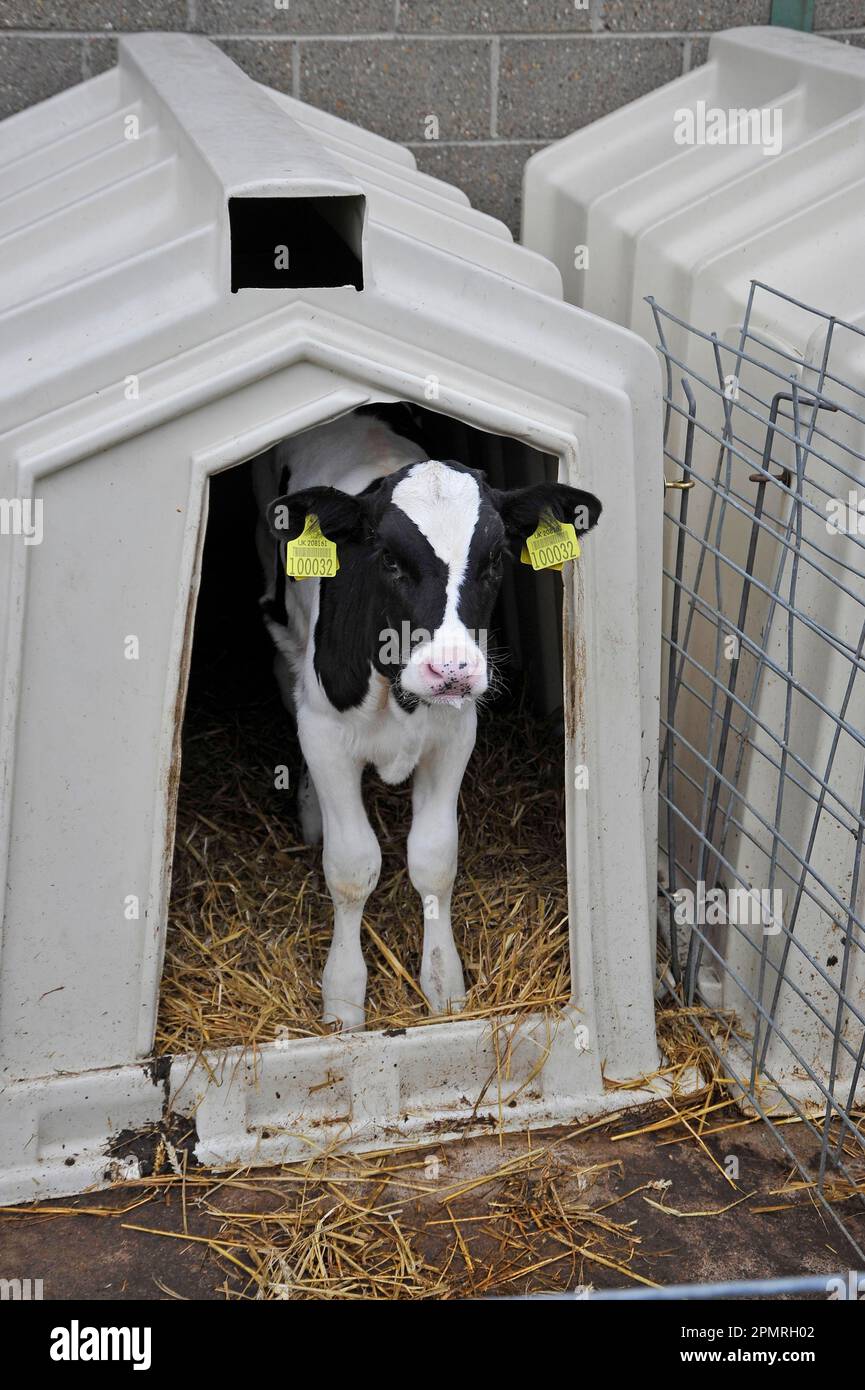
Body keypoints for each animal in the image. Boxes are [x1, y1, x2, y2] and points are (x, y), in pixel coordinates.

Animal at [252, 410, 601, 1032]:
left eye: (494, 560)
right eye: (389, 560)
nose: (452, 668)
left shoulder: (454, 735)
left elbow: (434, 858)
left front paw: (444, 983)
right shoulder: (325, 734)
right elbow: (351, 866)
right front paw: (343, 997)